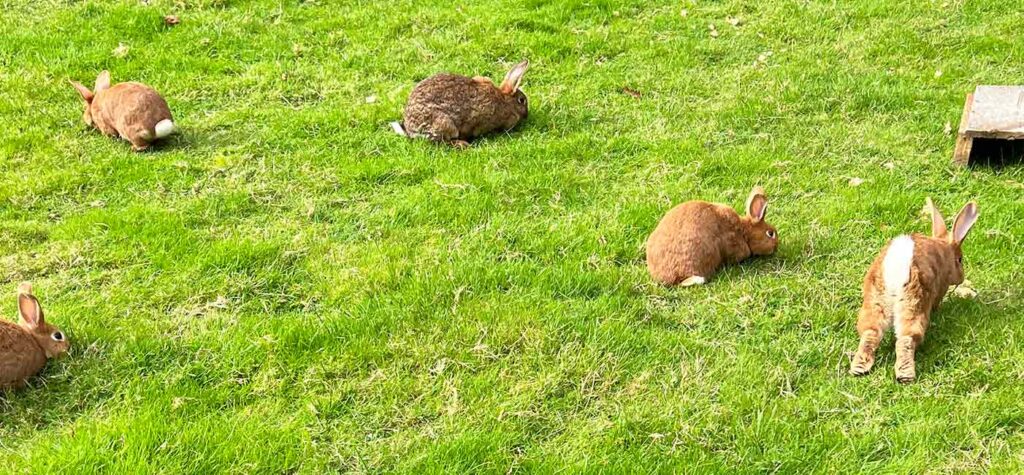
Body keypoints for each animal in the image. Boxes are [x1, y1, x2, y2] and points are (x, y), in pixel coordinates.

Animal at [391, 60, 530, 147]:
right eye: (522, 100)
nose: (527, 115)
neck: (505, 99)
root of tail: (410, 130)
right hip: (444, 124)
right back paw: (463, 144)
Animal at [850, 198, 979, 383]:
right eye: (960, 260)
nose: (961, 277)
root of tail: (896, 267)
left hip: (875, 300)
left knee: (870, 333)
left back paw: (858, 369)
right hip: (913, 302)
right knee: (905, 339)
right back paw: (906, 375)